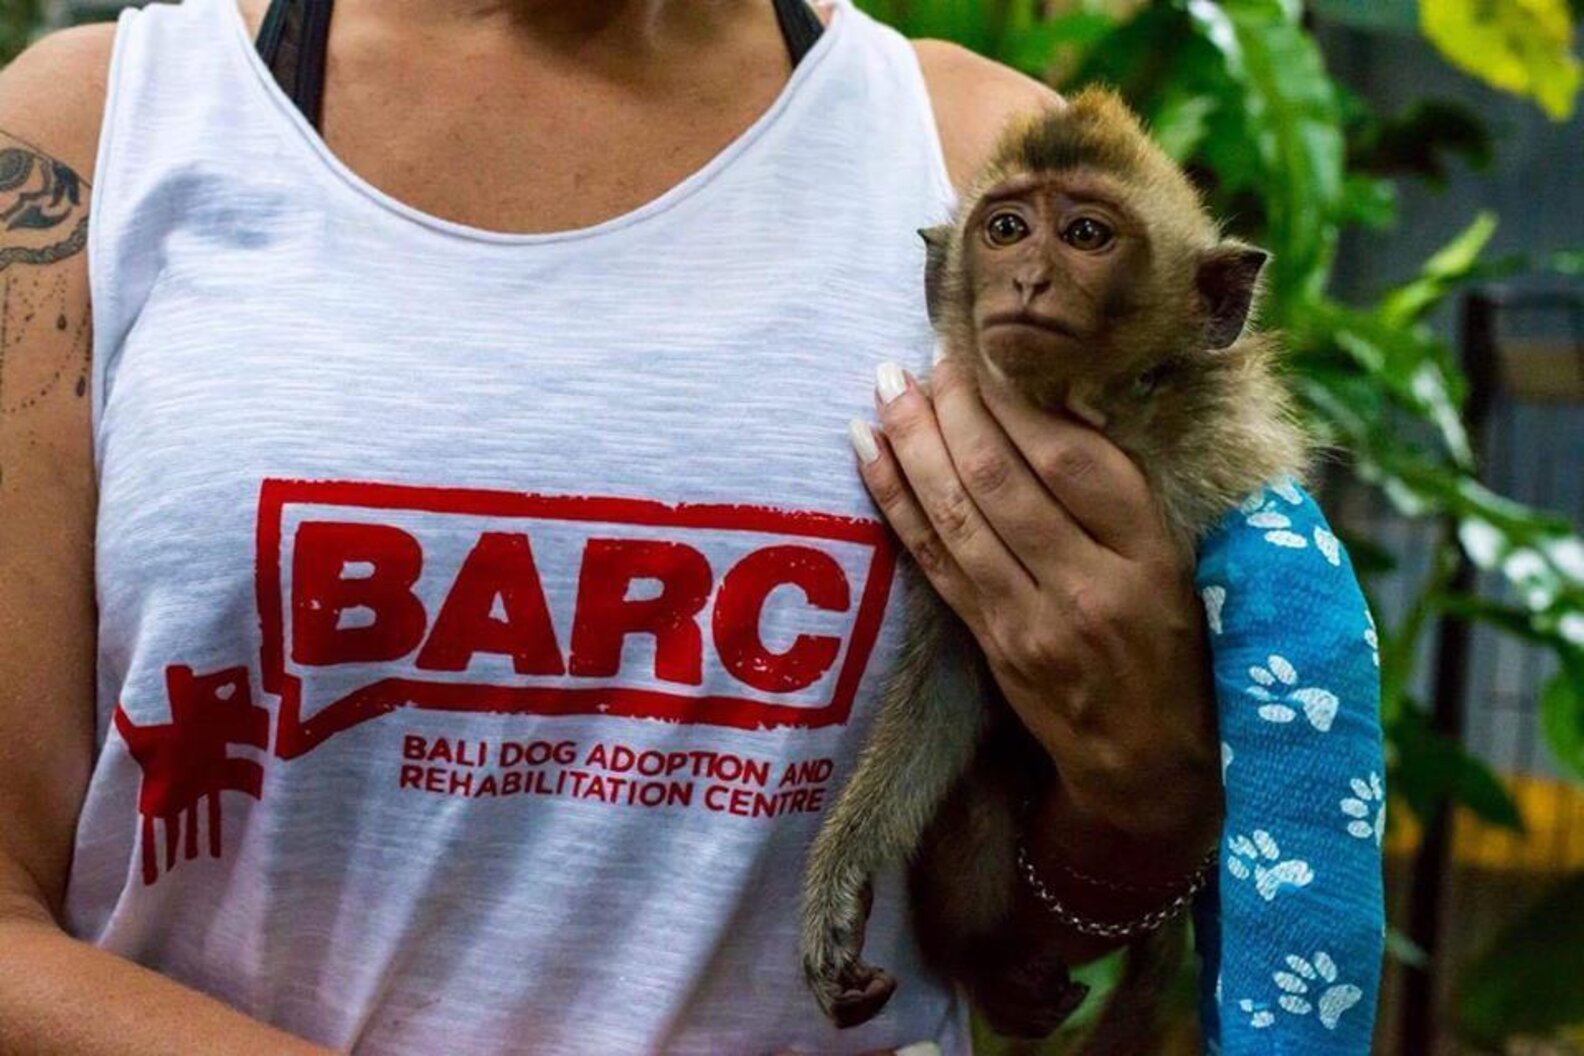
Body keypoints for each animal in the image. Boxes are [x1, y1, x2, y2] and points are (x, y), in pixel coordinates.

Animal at [799, 85, 1310, 1041]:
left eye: (1085, 235)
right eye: (1006, 228)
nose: (1029, 278)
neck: (1091, 412)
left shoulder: (1214, 462)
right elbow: (947, 685)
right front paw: (841, 882)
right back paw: (990, 967)